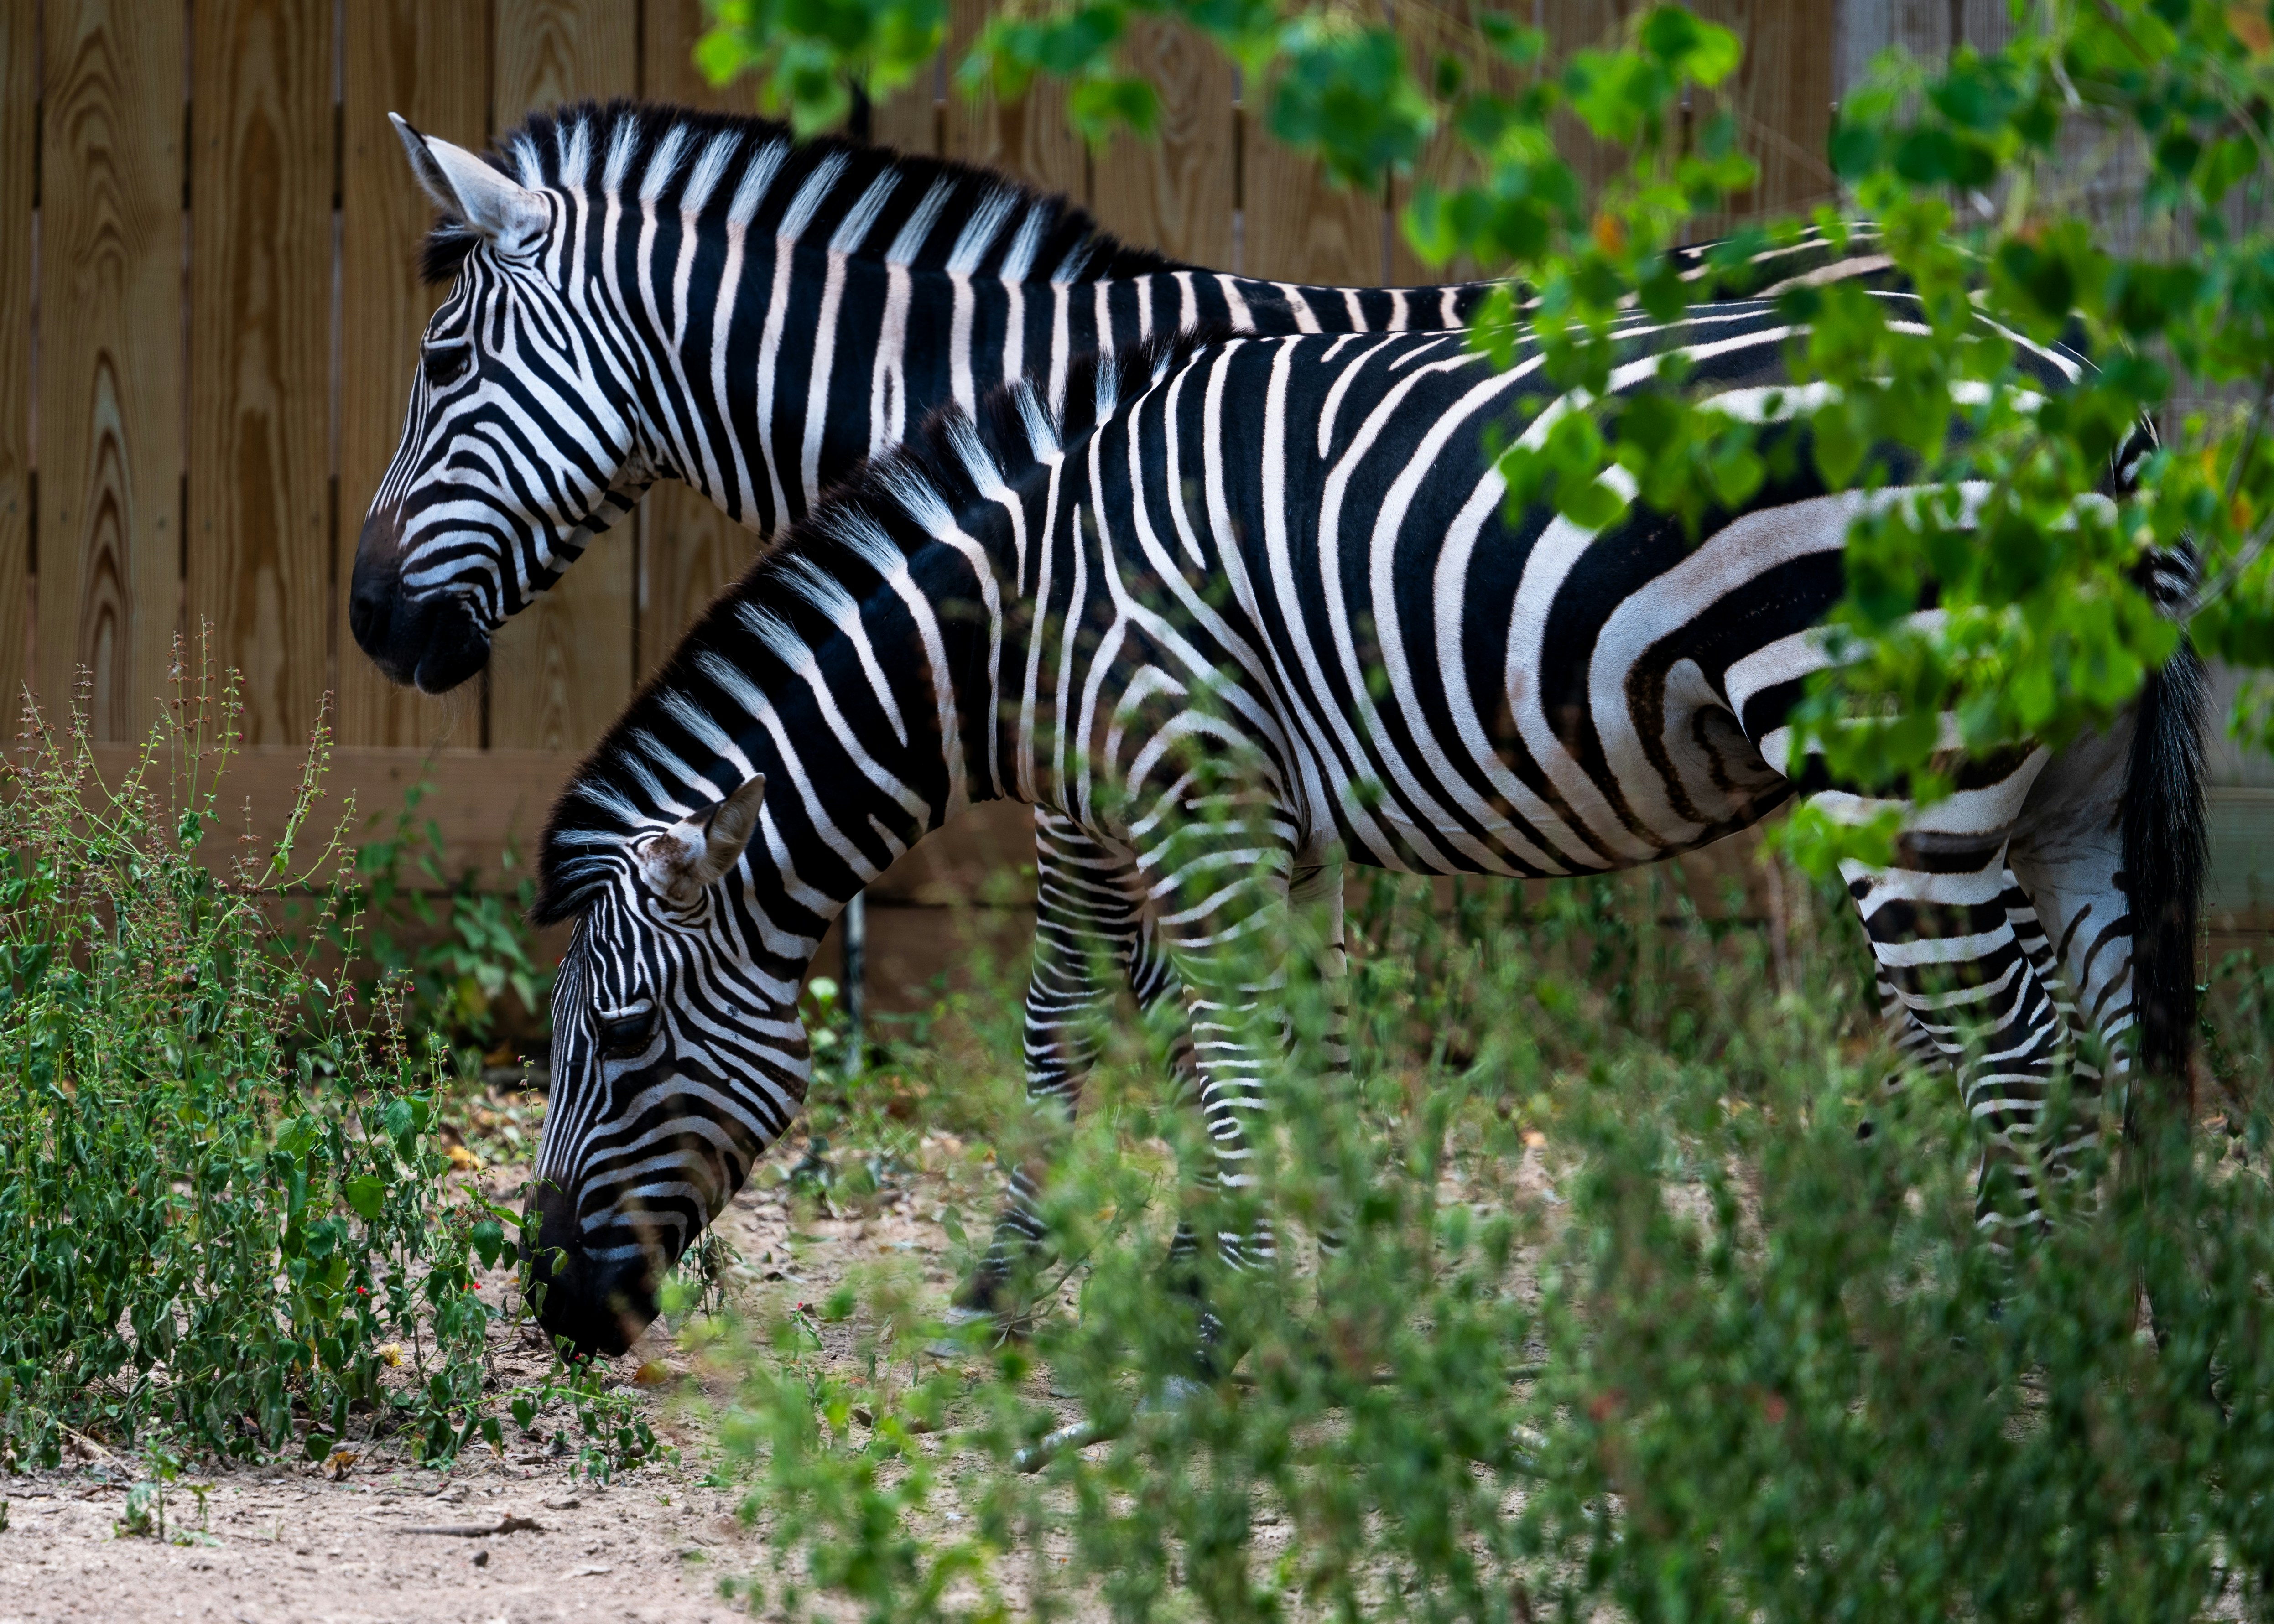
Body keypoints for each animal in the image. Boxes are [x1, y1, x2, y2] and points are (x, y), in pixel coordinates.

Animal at [518, 317, 2205, 1357]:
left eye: (618, 1034)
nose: (548, 1306)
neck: (1027, 603)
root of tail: (2091, 399)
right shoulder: (1267, 823)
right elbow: (1285, 1062)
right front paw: (1339, 1295)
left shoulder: (1187, 797)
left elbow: (1178, 1056)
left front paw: (1208, 1331)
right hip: (2071, 789)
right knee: (2113, 1044)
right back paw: (2118, 1336)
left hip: (1900, 772)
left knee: (2013, 1060)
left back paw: (1992, 1348)